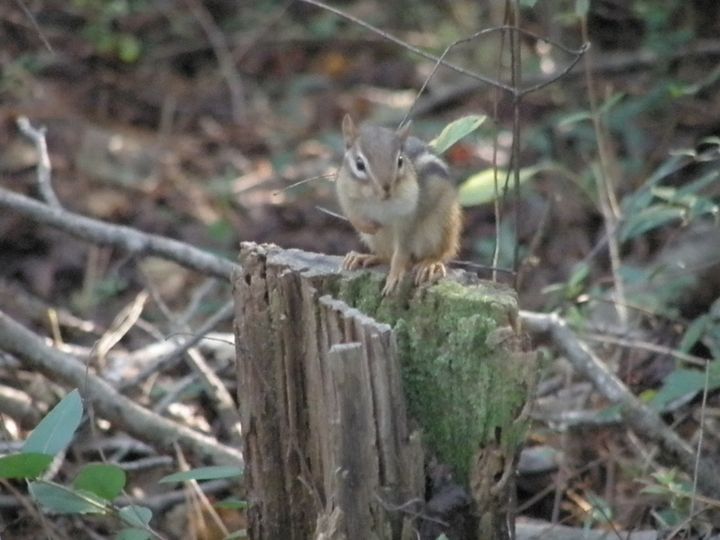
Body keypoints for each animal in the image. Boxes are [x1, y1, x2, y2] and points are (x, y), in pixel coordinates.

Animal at [336, 114, 462, 295]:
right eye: (360, 165)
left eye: (400, 161)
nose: (386, 189)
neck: (377, 201)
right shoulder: (344, 193)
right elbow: (353, 216)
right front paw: (368, 226)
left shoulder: (407, 217)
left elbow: (401, 252)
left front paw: (394, 275)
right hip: (376, 240)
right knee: (386, 255)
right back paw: (363, 257)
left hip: (441, 226)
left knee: (443, 252)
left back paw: (429, 264)